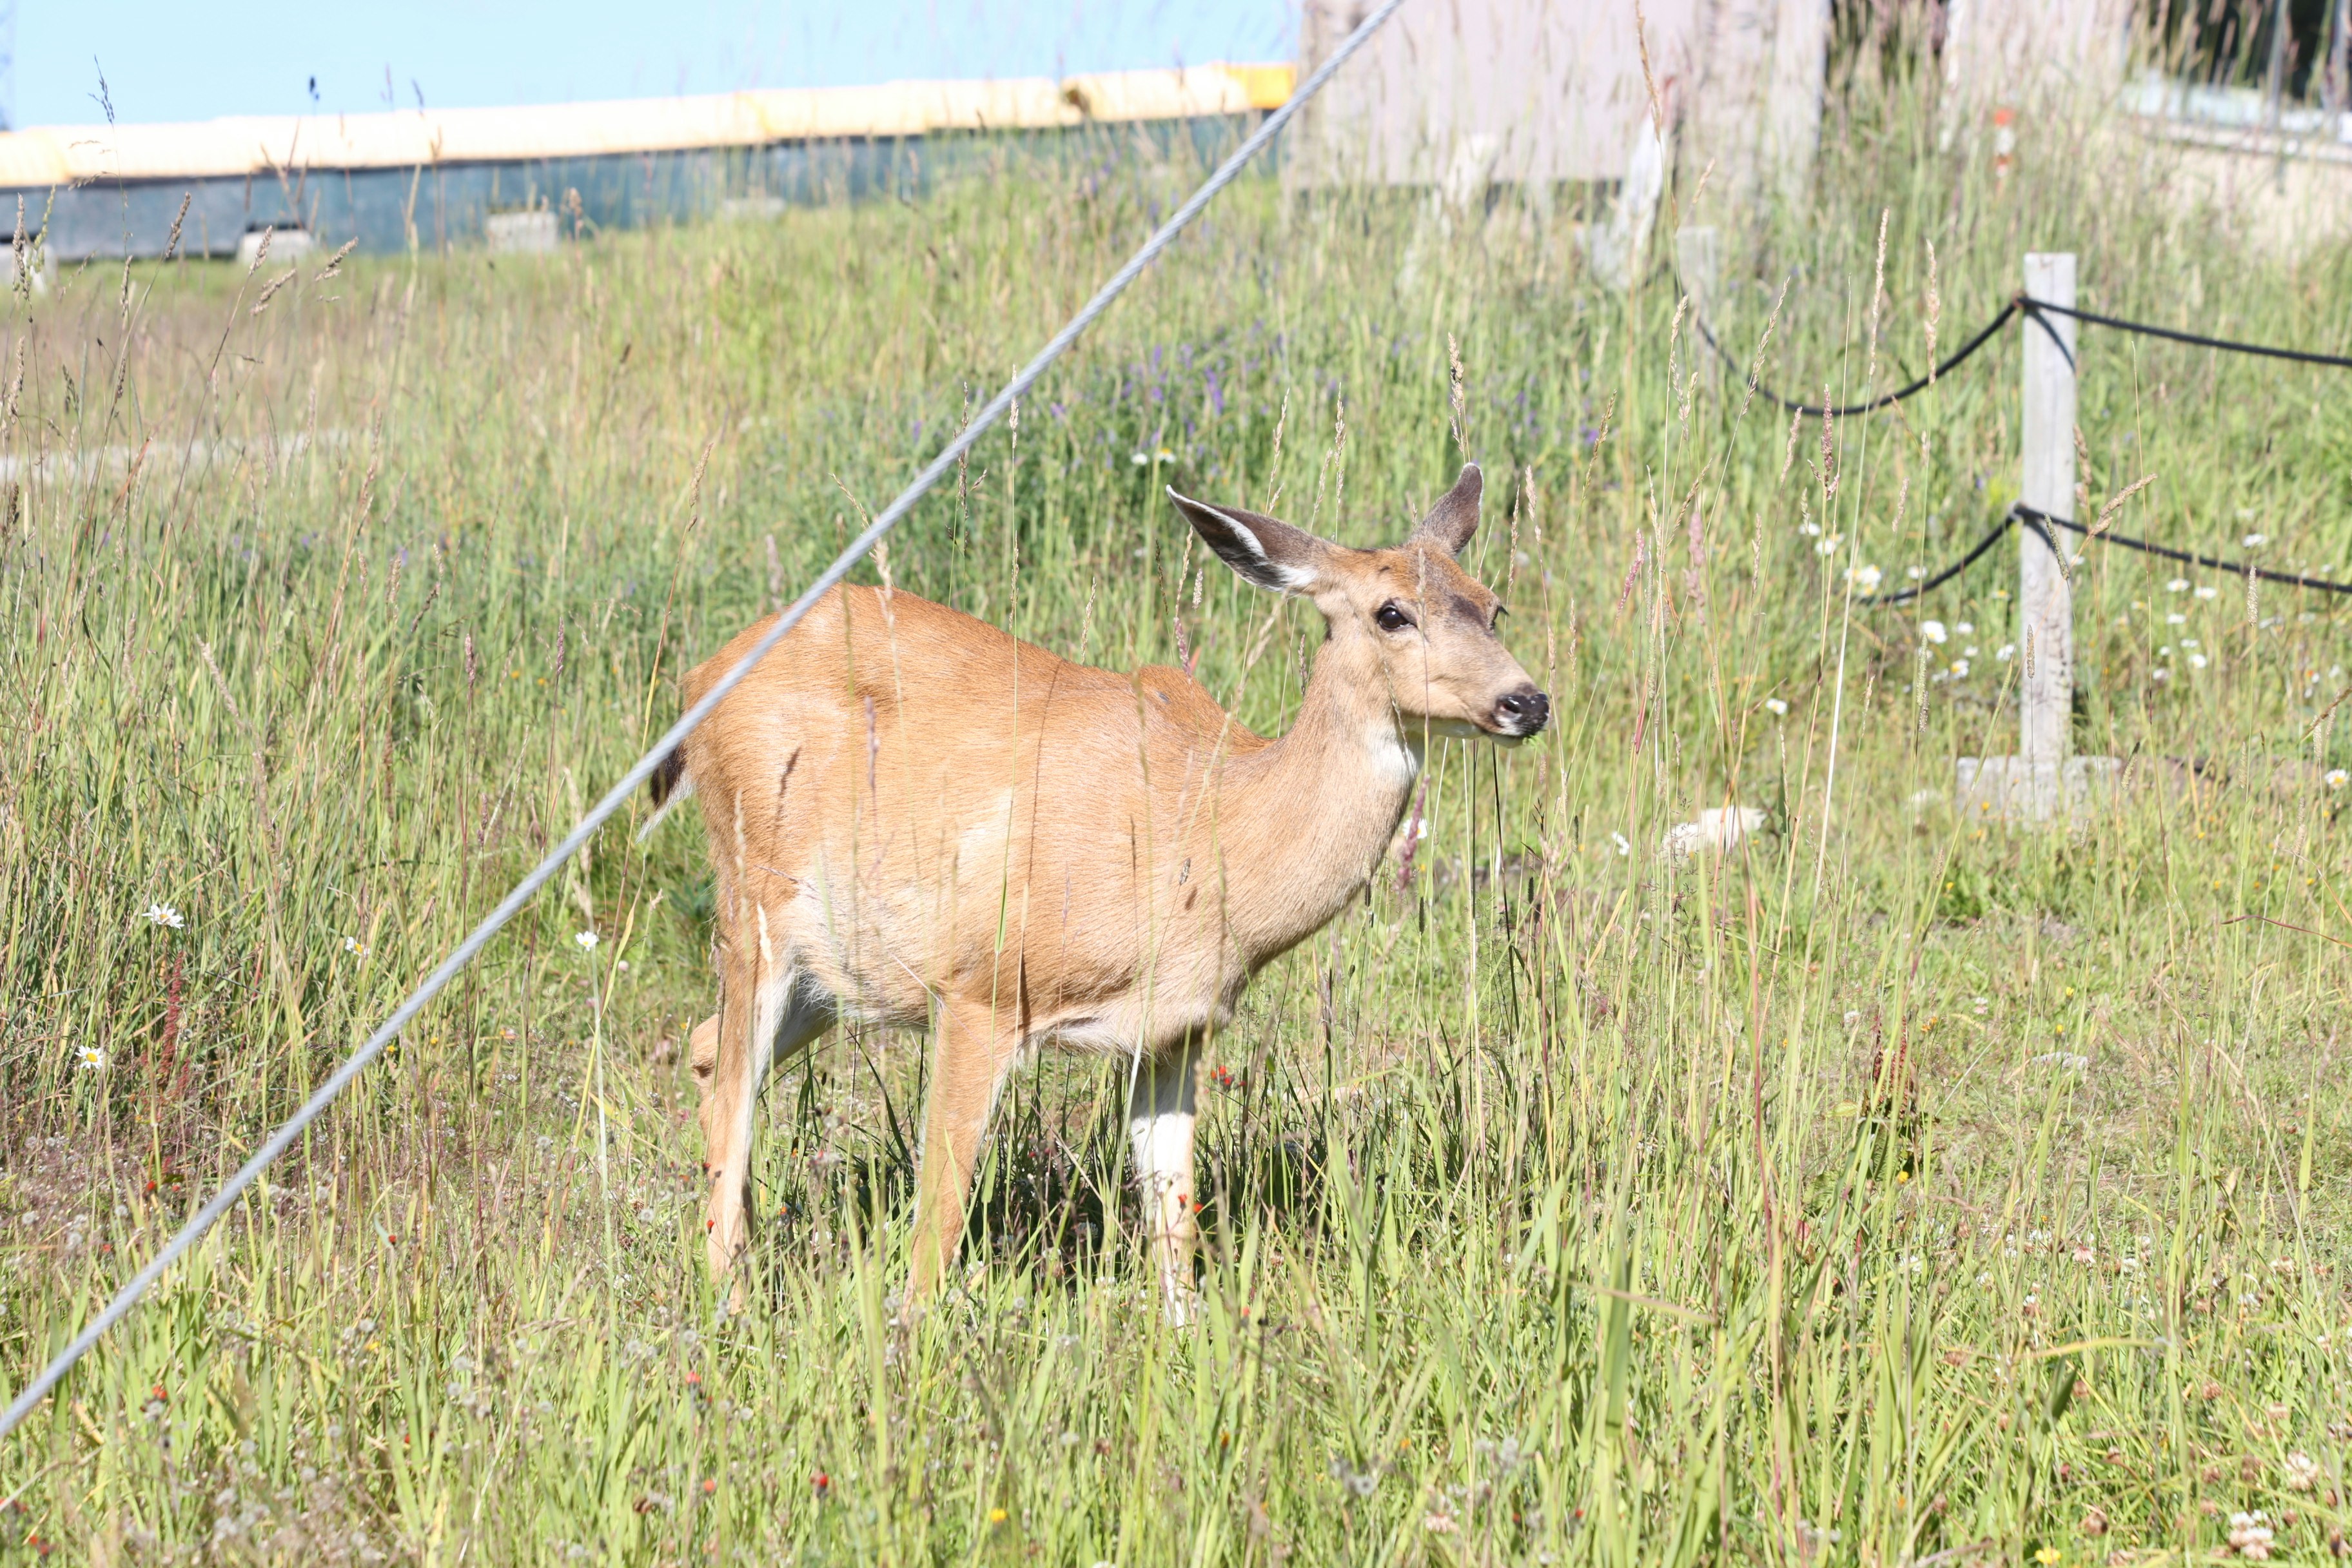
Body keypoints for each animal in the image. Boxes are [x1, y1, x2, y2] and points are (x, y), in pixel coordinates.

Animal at [652, 462, 1548, 1315]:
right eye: (1393, 612)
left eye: (1493, 605)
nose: (1528, 700)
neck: (1210, 827)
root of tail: (695, 682)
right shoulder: (981, 984)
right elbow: (939, 1218)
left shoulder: (1174, 1032)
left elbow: (1174, 1219)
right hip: (755, 895)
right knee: (731, 1088)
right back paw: (731, 1302)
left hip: (834, 972)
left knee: (706, 1048)